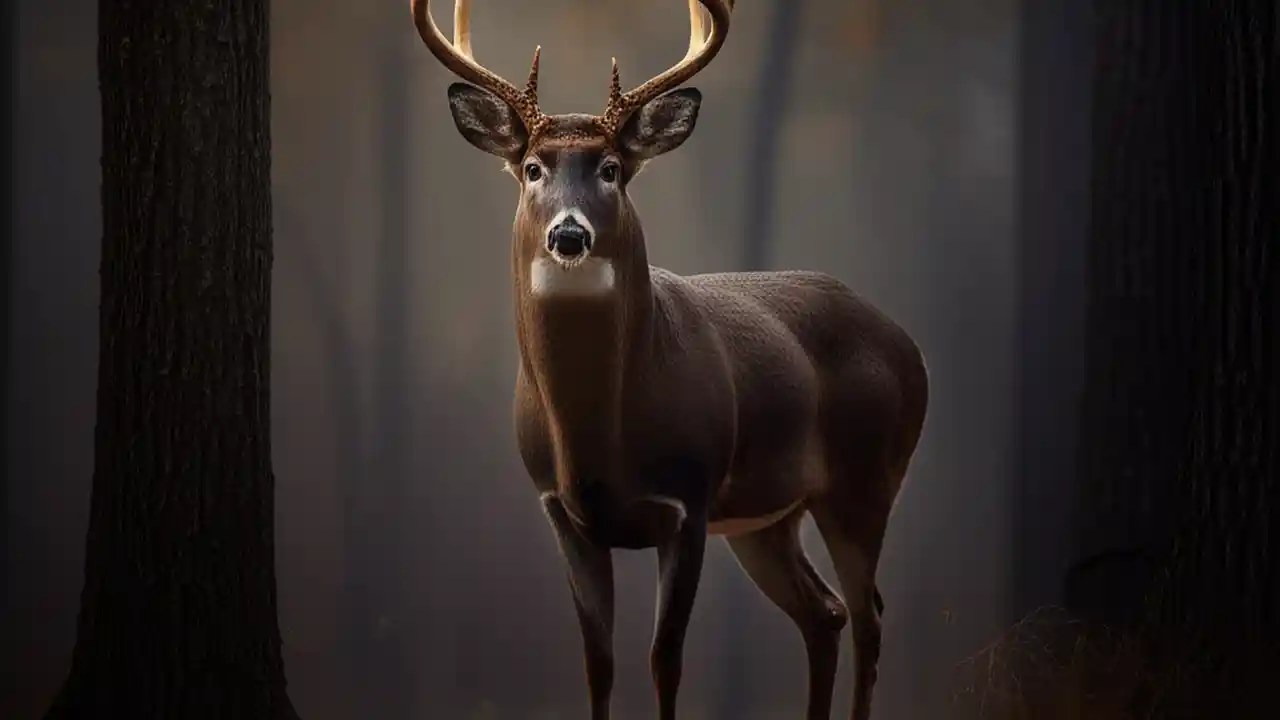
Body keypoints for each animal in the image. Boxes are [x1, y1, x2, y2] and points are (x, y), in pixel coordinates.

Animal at [410, 1, 929, 718]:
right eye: (534, 167)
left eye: (610, 168)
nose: (568, 233)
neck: (598, 436)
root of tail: (906, 344)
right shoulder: (560, 510)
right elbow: (597, 663)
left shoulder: (689, 499)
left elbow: (665, 660)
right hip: (768, 519)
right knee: (825, 613)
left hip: (866, 477)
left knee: (870, 615)